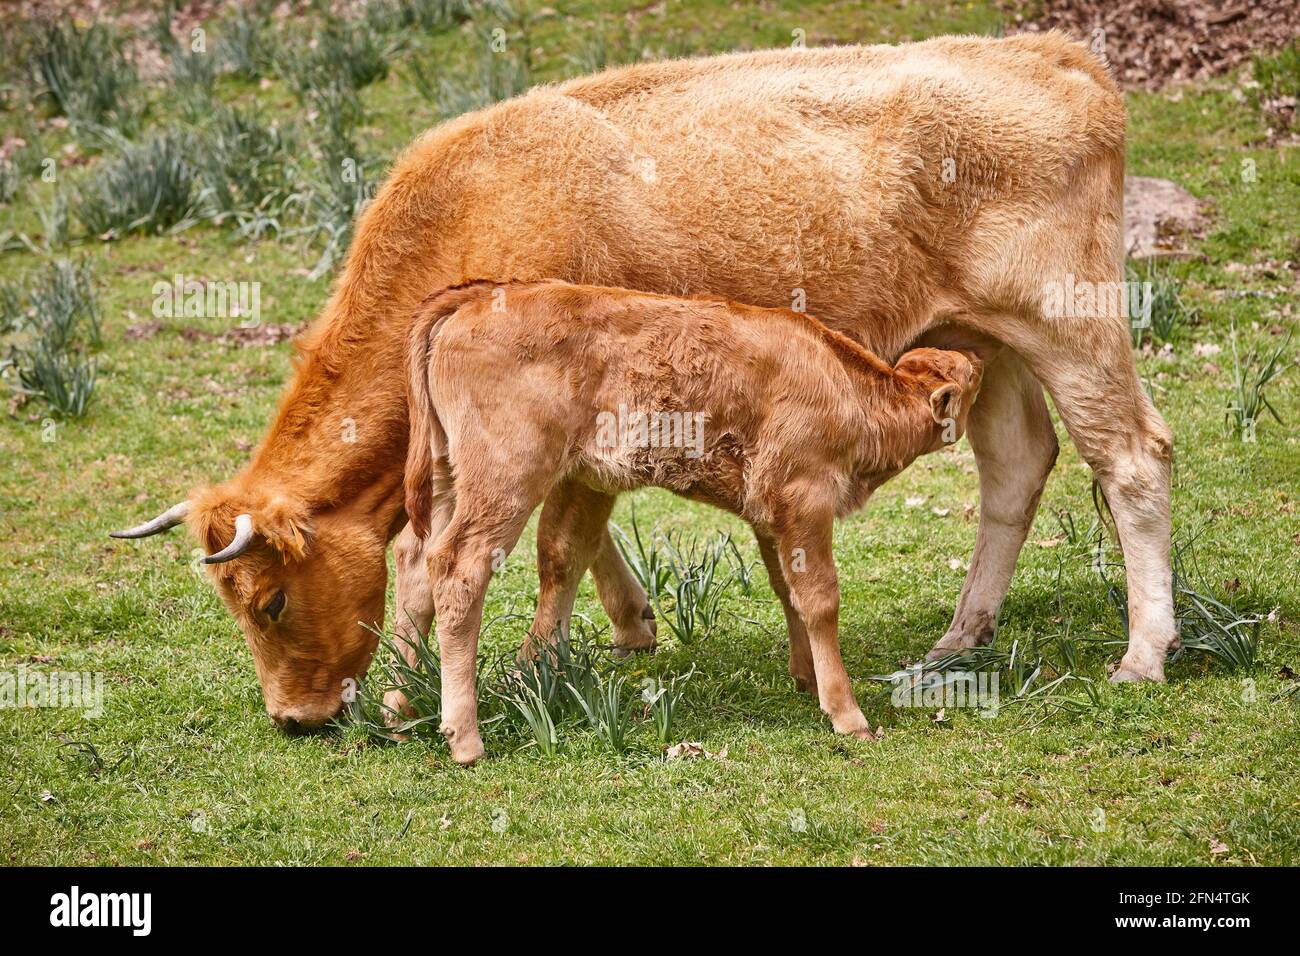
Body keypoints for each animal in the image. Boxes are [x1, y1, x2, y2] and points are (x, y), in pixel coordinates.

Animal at [403, 280, 986, 763]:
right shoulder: (806, 500)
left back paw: (401, 702)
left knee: (418, 558)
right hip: (505, 482)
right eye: (968, 377)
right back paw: (465, 739)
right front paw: (848, 714)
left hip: (448, 481)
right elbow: (821, 599)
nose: (978, 355)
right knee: (458, 569)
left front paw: (805, 676)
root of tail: (476, 298)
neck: (846, 388)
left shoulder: (771, 515)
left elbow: (787, 590)